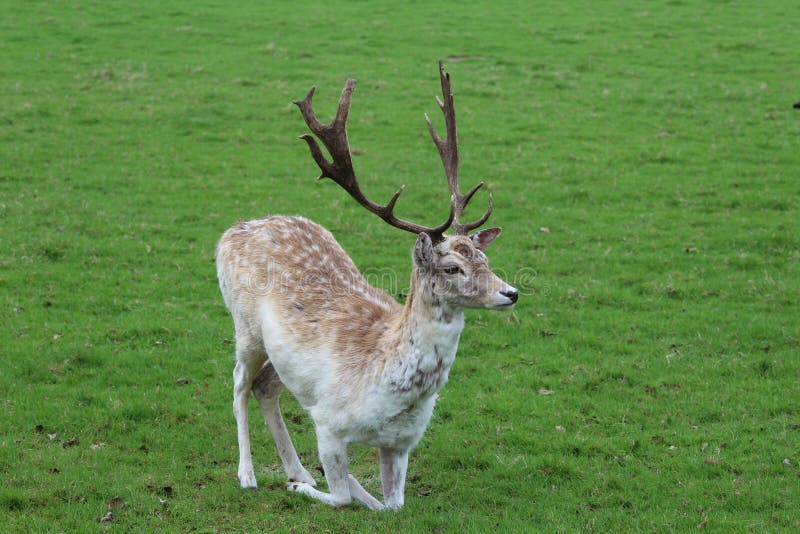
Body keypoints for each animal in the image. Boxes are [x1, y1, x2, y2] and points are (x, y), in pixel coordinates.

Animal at [215, 61, 518, 510]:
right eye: (452, 268)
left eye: (484, 259)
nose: (511, 292)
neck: (392, 393)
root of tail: (232, 231)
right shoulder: (327, 422)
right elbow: (342, 497)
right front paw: (316, 487)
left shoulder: (402, 444)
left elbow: (391, 506)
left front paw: (323, 484)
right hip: (246, 327)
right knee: (239, 382)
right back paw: (249, 475)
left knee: (264, 386)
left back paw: (297, 470)